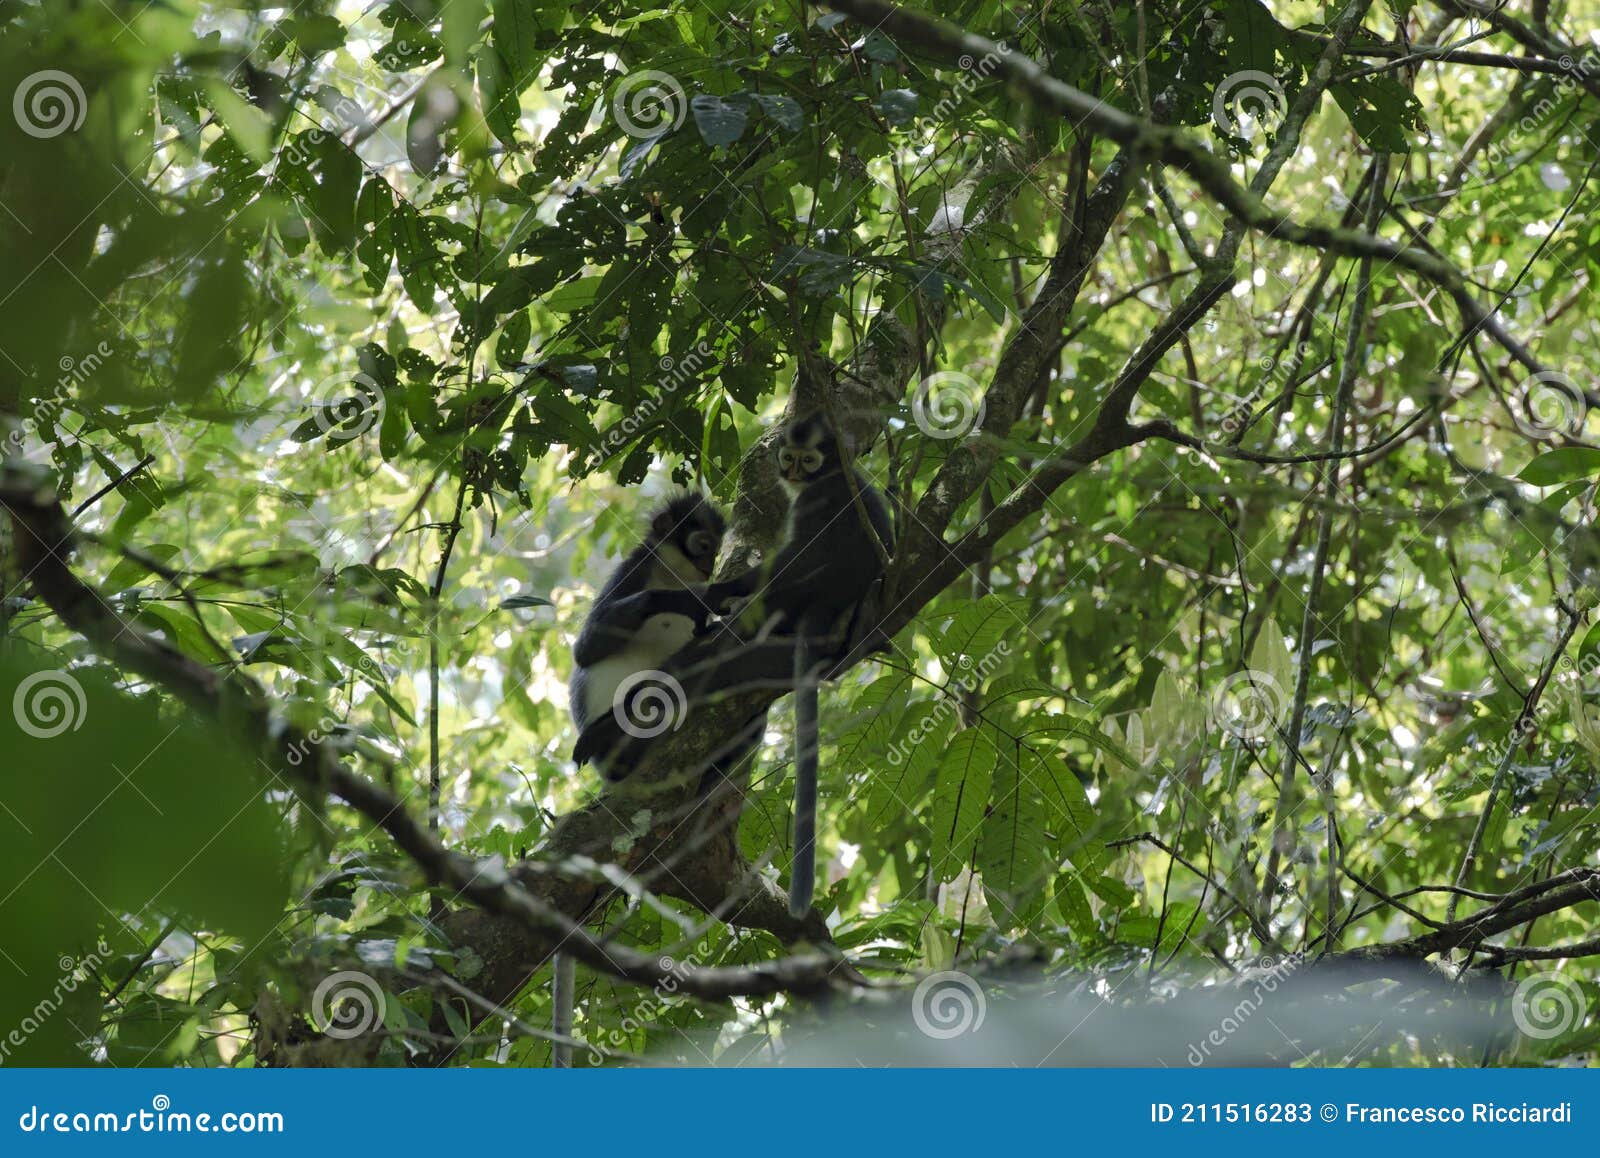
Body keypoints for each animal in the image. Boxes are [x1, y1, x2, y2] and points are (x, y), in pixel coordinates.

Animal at [704, 411, 893, 917]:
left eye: (808, 462)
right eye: (788, 457)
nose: (791, 472)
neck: (832, 475)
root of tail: (827, 605)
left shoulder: (814, 499)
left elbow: (792, 559)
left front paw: (720, 594)